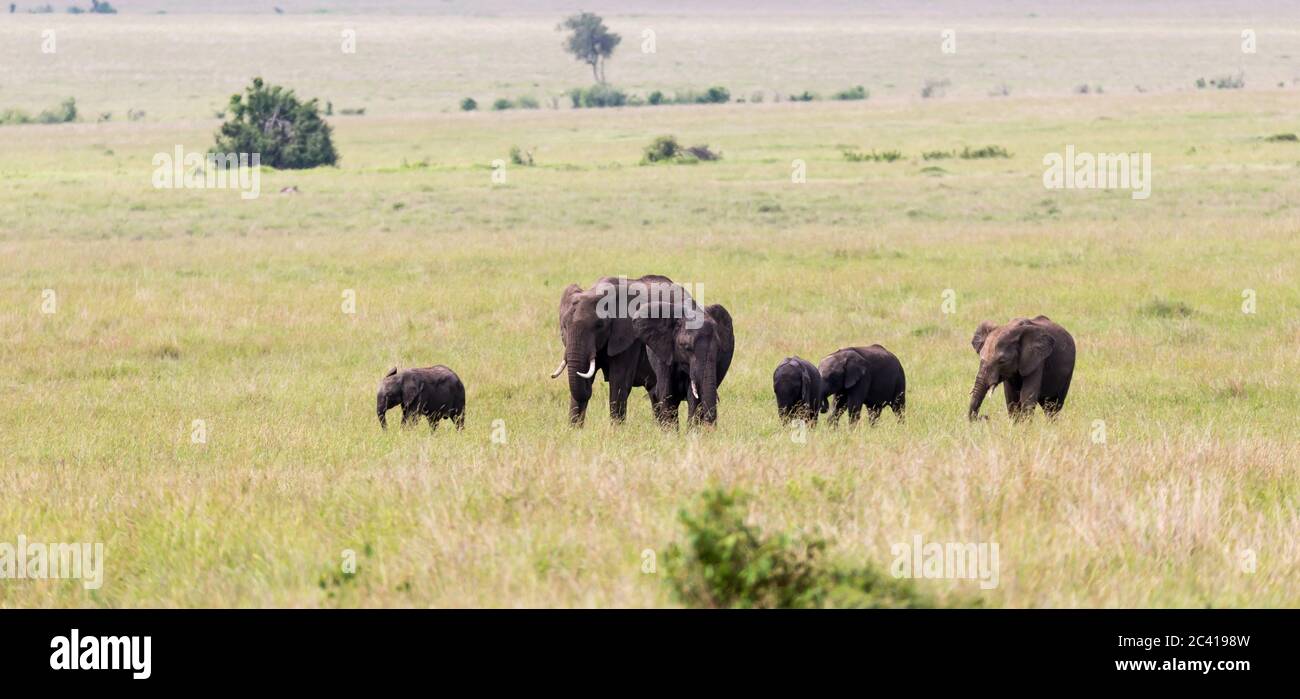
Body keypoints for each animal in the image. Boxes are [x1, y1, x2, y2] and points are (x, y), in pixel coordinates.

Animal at [551, 276, 663, 426]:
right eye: (564, 326)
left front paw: (616, 430)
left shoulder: (630, 339)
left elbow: (619, 383)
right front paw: (573, 429)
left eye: (599, 325)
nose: (589, 390)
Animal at [632, 284, 734, 427]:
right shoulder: (663, 353)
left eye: (718, 350)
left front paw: (692, 431)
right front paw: (670, 432)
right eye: (686, 348)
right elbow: (667, 394)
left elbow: (694, 399)